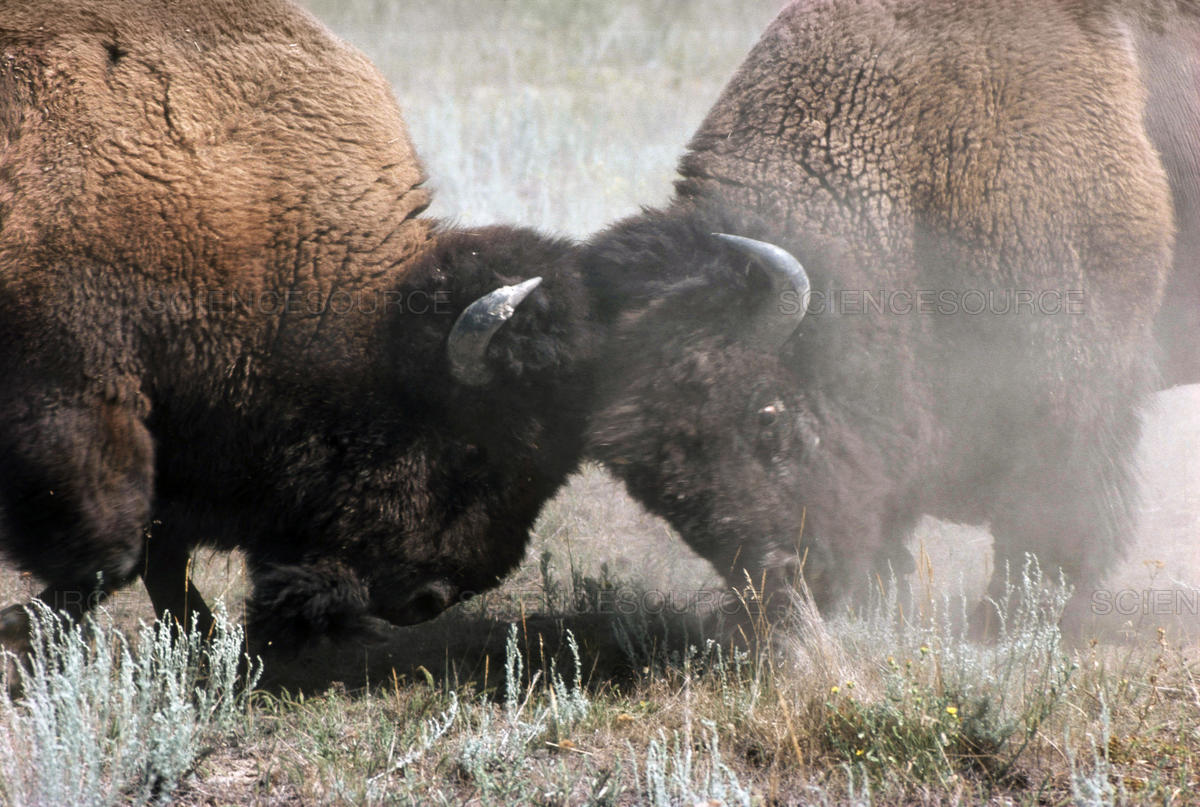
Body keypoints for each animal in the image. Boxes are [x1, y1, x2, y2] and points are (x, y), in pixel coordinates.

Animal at [0, 0, 599, 653]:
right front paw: (18, 629)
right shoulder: (73, 389)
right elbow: (116, 551)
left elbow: (160, 552)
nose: (431, 598)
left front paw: (201, 640)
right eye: (473, 450)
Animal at [583, 0, 1200, 630]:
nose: (783, 581)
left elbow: (1055, 517)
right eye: (646, 483)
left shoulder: (1075, 386)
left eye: (768, 414)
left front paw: (1002, 626)